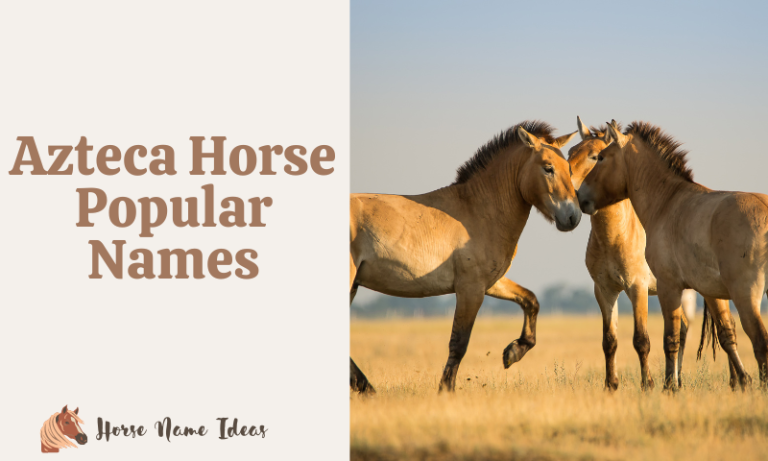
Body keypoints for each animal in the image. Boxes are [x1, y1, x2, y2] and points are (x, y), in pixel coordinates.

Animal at [350, 120, 582, 393]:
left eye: (568, 167)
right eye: (548, 168)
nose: (573, 216)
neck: (479, 211)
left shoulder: (489, 283)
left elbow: (530, 300)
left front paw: (513, 352)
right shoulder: (470, 290)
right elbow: (459, 343)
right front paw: (445, 391)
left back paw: (366, 388)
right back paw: (367, 388)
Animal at [577, 120, 763, 390]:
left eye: (598, 157)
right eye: (571, 152)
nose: (578, 196)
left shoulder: (650, 287)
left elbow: (655, 339)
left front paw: (657, 385)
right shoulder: (606, 289)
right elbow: (612, 339)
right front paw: (615, 385)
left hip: (731, 292)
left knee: (741, 334)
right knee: (716, 331)